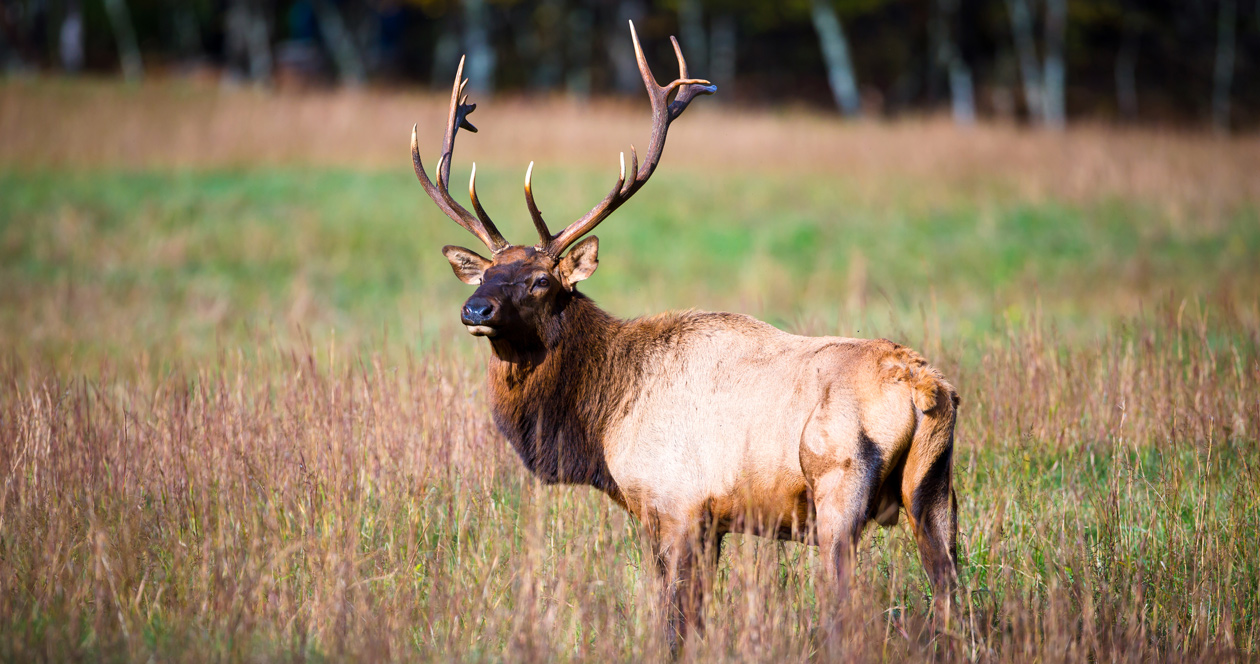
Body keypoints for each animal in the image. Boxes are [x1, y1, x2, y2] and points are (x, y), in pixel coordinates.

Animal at [411, 21, 960, 654]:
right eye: (486, 275)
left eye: (541, 280)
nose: (475, 308)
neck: (600, 421)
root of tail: (925, 388)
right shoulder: (709, 521)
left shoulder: (675, 507)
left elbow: (674, 620)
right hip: (936, 489)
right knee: (952, 590)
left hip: (837, 489)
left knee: (846, 604)